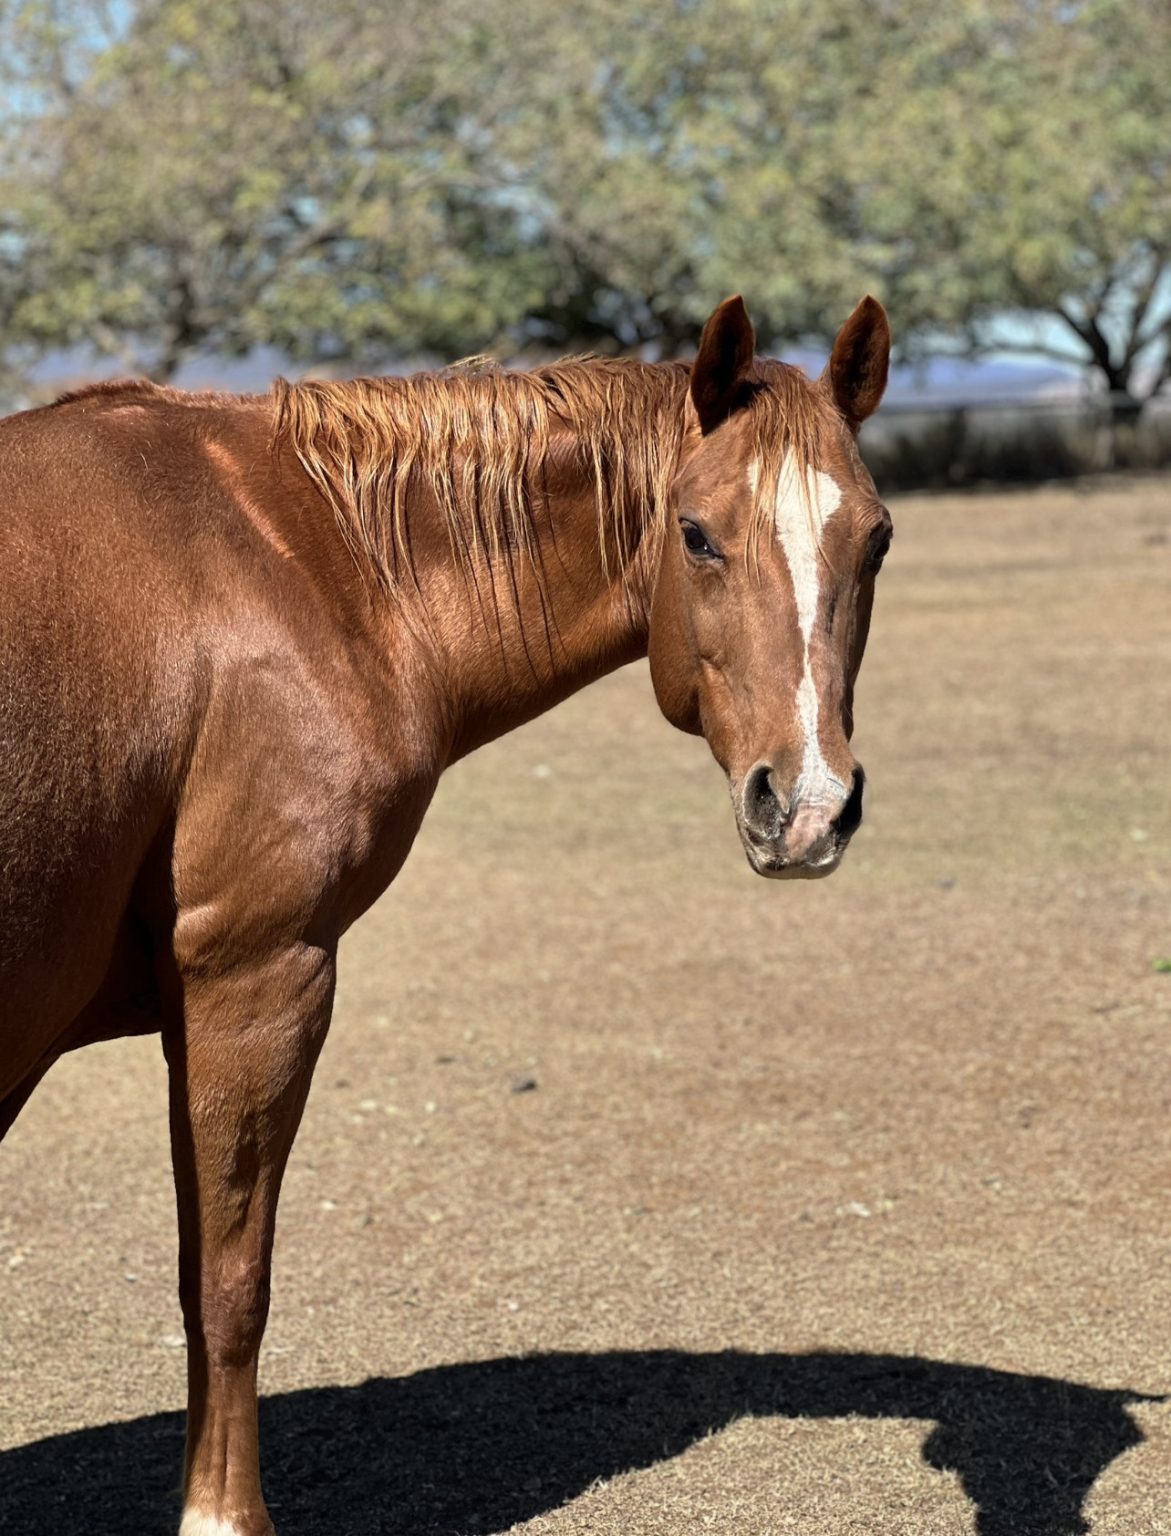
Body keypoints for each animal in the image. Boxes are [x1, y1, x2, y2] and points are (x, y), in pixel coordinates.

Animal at [0, 294, 891, 1535]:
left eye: (877, 539)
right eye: (698, 534)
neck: (300, 554)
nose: (806, 805)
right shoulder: (258, 980)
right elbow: (228, 1283)